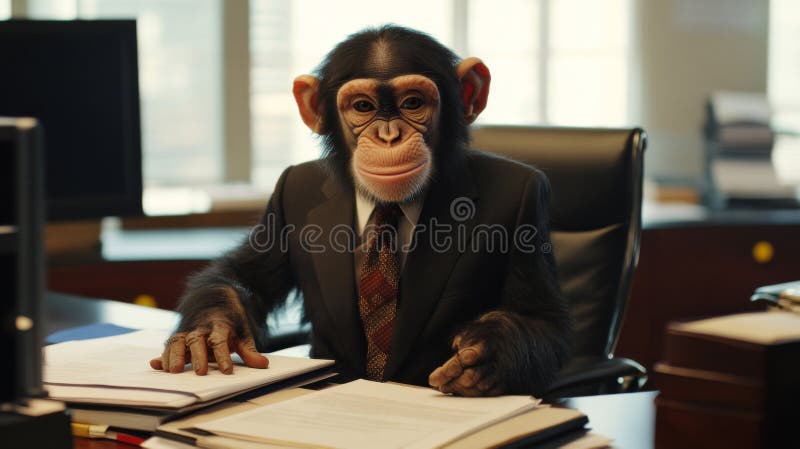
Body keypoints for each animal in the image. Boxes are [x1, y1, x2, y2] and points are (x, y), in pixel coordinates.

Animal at [150, 25, 571, 397]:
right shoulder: (282, 204)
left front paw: (489, 354)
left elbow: (540, 319)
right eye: (363, 107)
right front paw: (211, 331)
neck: (389, 207)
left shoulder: (528, 208)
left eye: (412, 103)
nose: (388, 136)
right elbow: (240, 273)